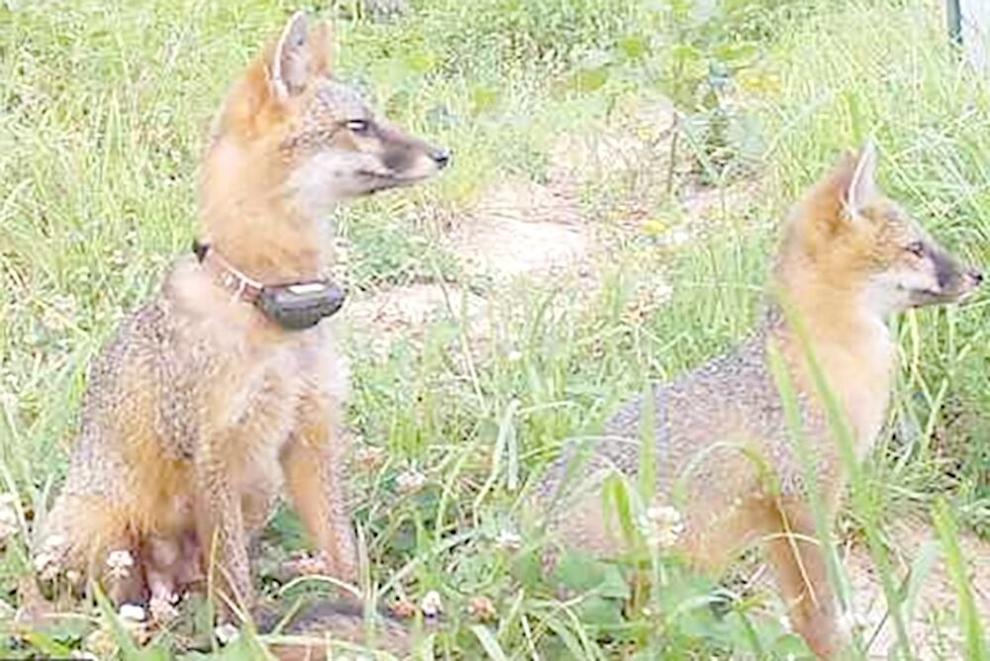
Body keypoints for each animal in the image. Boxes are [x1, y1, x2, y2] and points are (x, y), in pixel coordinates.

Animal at [32, 9, 449, 631]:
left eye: (376, 118)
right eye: (359, 124)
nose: (444, 154)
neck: (266, 300)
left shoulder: (310, 432)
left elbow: (340, 550)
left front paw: (361, 611)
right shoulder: (211, 449)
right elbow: (232, 578)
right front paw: (243, 633)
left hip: (260, 488)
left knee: (195, 583)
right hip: (109, 534)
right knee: (130, 599)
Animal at [535, 142, 983, 658]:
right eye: (916, 248)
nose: (977, 274)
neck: (825, 357)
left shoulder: (779, 514)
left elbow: (798, 598)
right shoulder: (801, 493)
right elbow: (818, 596)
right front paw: (833, 645)